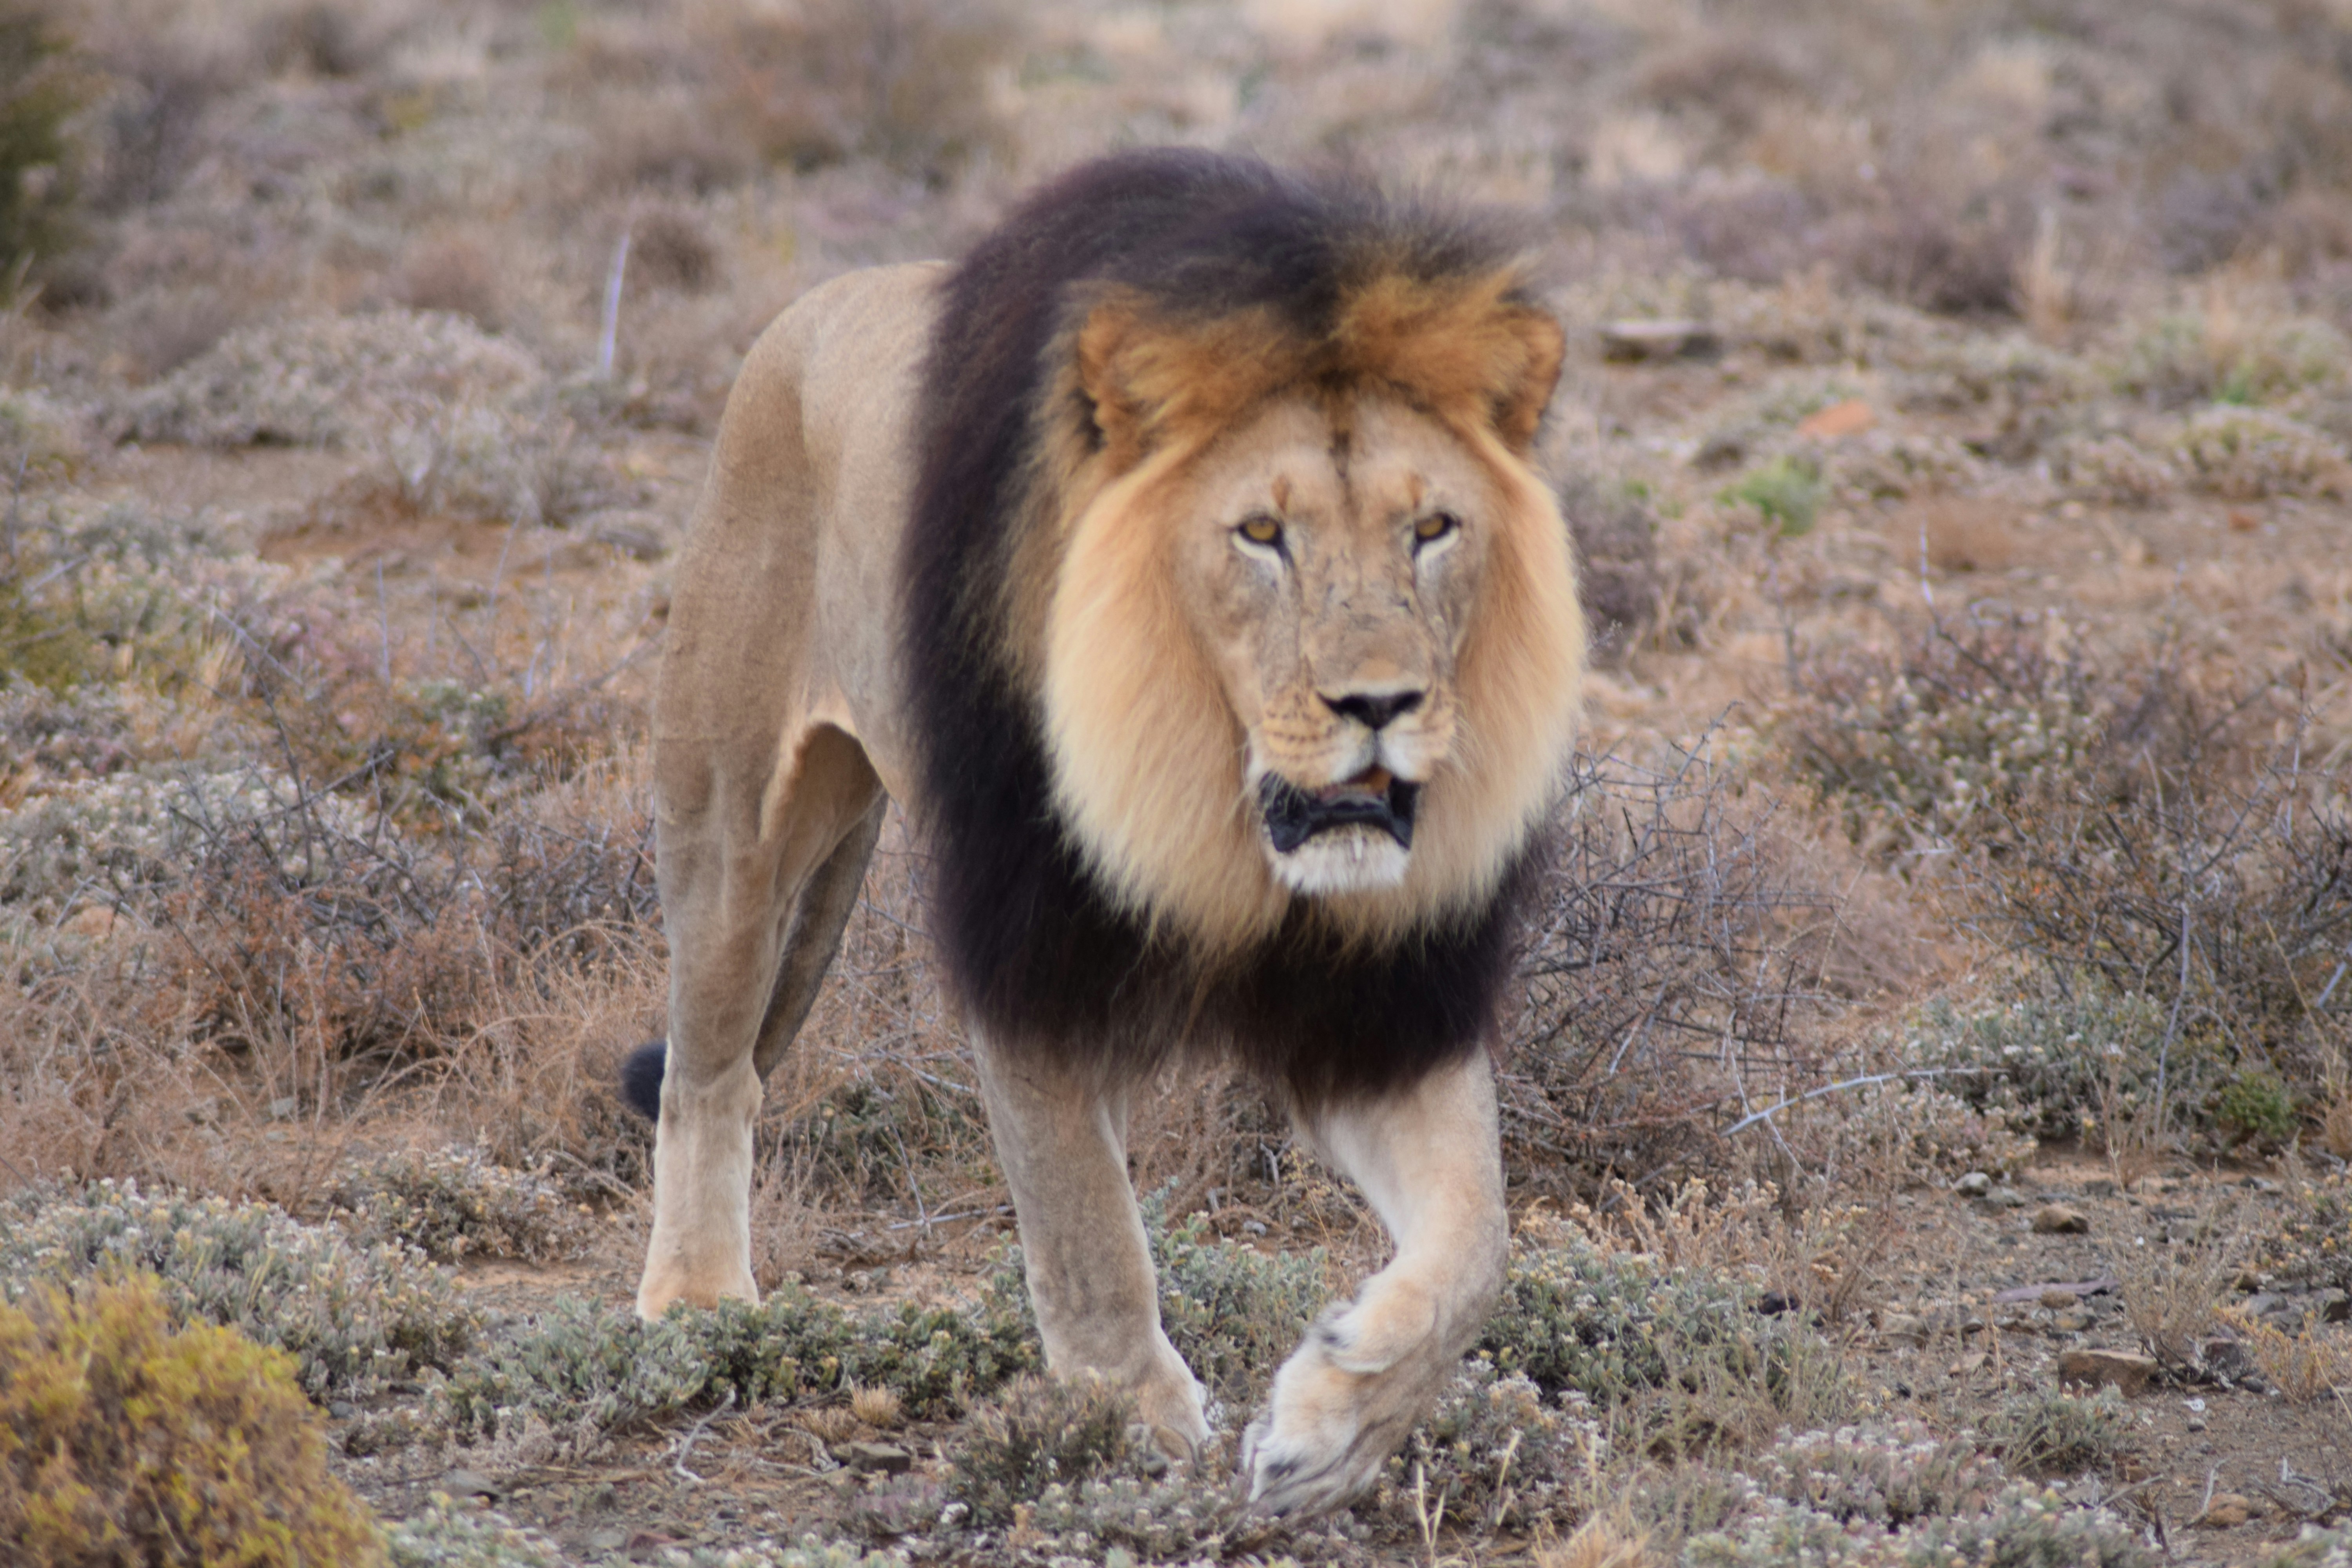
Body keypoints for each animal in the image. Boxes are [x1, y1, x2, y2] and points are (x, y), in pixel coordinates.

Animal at [620, 149, 1585, 1516]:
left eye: (1431, 529)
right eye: (1261, 534)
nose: (1381, 704)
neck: (1214, 816)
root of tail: (814, 307)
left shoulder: (1379, 997)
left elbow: (1476, 1241)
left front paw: (1331, 1425)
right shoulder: (1030, 960)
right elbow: (1083, 1220)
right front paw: (1140, 1430)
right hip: (730, 830)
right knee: (710, 1074)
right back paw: (699, 1306)